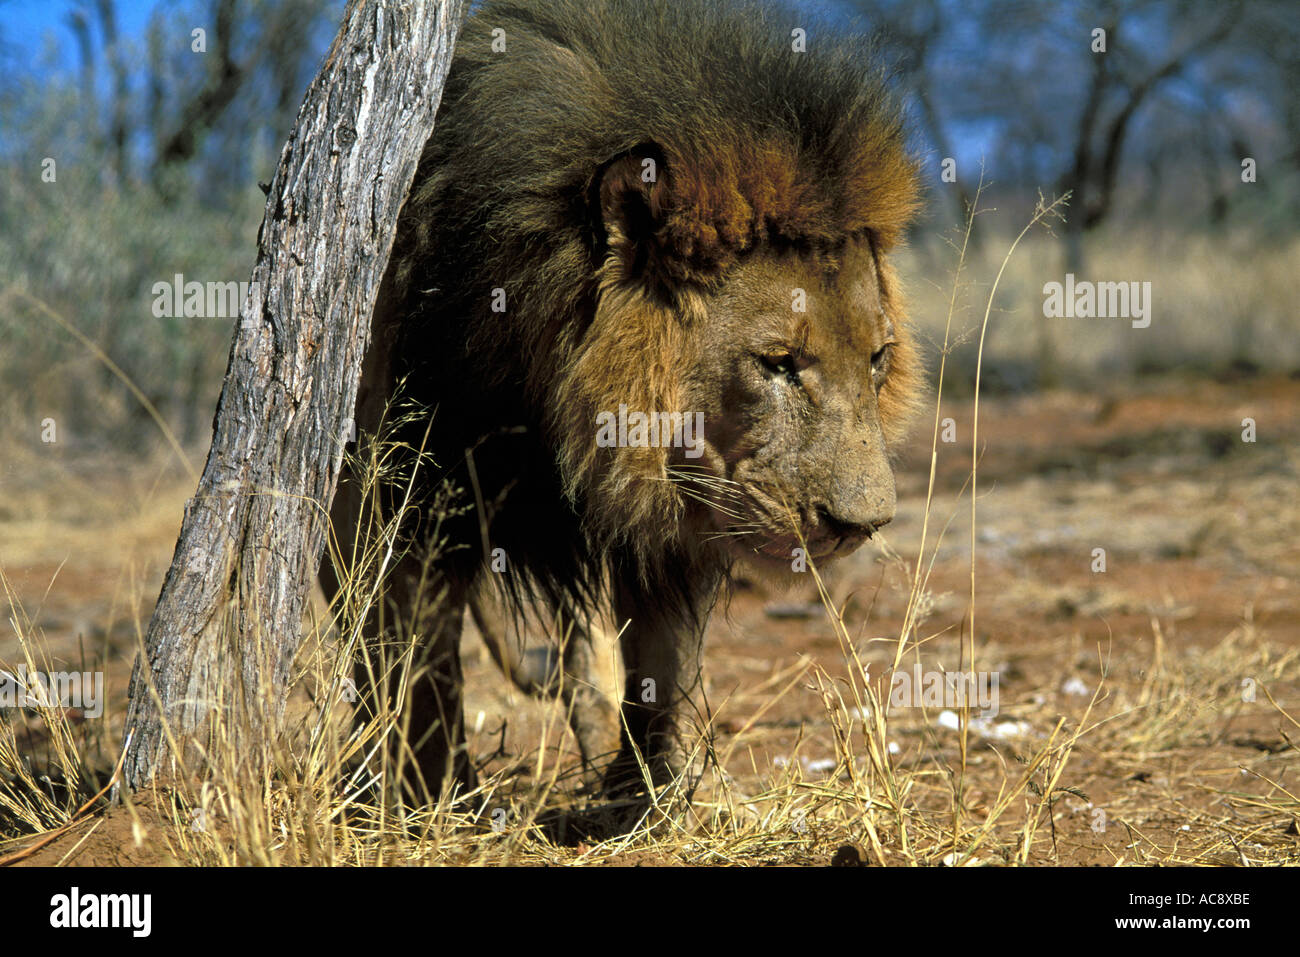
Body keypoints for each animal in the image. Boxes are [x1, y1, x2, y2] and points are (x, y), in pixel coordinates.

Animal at [319, 0, 924, 804]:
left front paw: (653, 797)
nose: (865, 525)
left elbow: (664, 665)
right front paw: (437, 797)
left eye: (878, 358)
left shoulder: (681, 515)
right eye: (778, 364)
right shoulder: (391, 498)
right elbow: (418, 663)